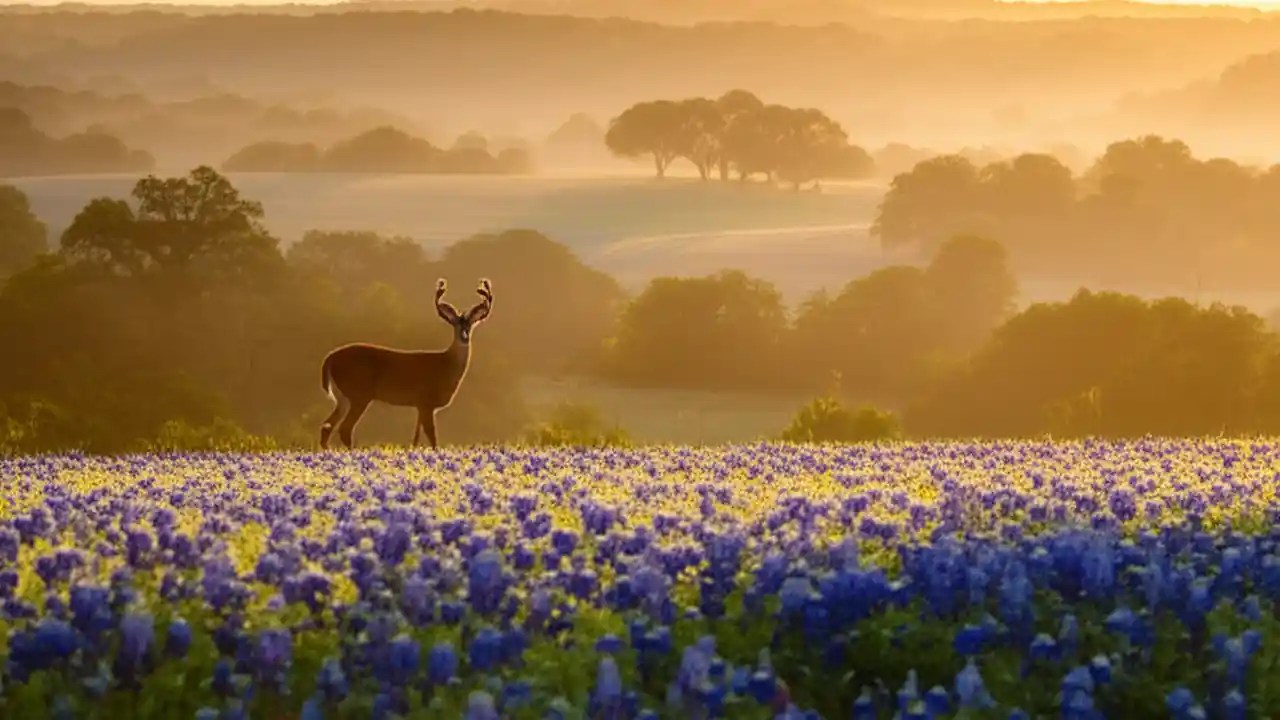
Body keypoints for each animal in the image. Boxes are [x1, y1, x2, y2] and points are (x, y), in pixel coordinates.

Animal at [318, 278, 493, 450]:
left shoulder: (419, 405)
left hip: (343, 397)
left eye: (470, 325)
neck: (446, 365)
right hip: (358, 393)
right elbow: (432, 437)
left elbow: (416, 437)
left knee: (327, 426)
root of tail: (329, 358)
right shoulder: (426, 401)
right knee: (344, 428)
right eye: (455, 325)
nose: (464, 337)